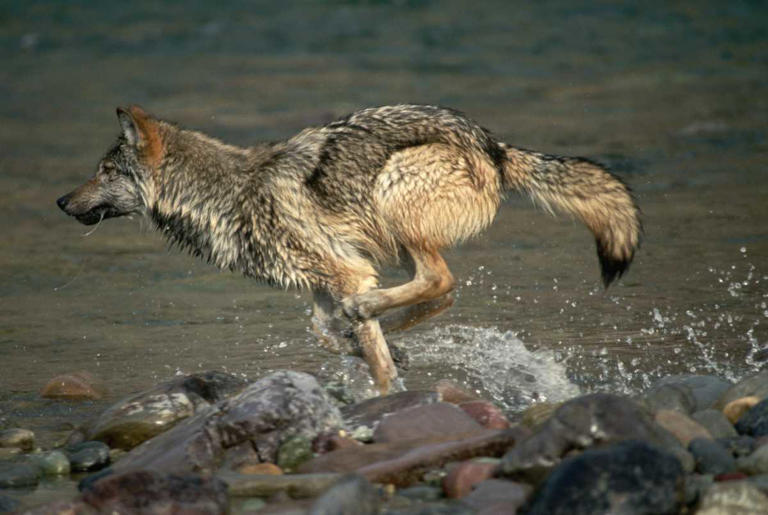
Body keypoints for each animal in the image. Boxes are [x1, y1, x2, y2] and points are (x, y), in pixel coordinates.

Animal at [57, 105, 641, 393]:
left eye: (105, 171)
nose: (61, 201)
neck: (226, 196)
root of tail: (493, 147)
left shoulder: (347, 274)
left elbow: (364, 351)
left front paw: (382, 388)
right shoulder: (325, 281)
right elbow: (321, 333)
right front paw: (374, 351)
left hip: (394, 200)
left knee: (440, 281)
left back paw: (374, 320)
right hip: (389, 242)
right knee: (440, 292)